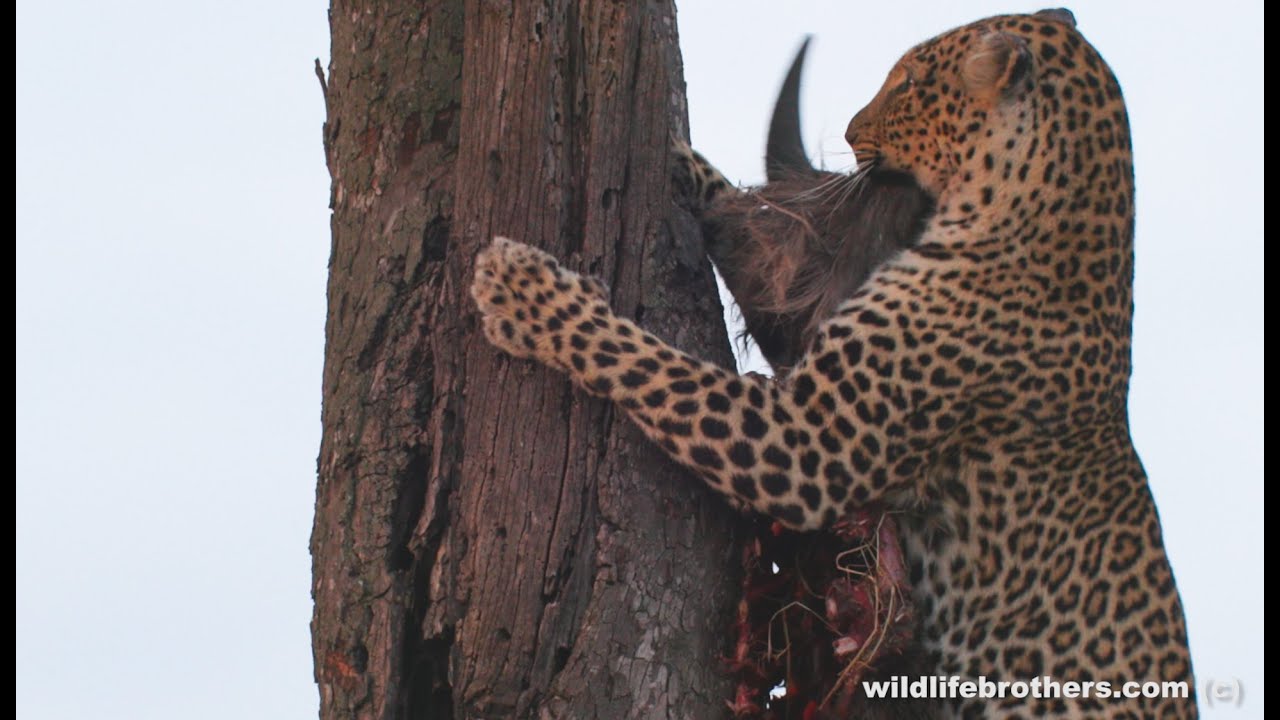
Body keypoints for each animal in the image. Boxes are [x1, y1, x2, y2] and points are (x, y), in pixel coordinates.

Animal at [470, 8, 1196, 718]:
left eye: (909, 83)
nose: (849, 130)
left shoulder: (808, 446)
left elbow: (656, 367)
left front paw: (523, 291)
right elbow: (741, 219)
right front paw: (677, 158)